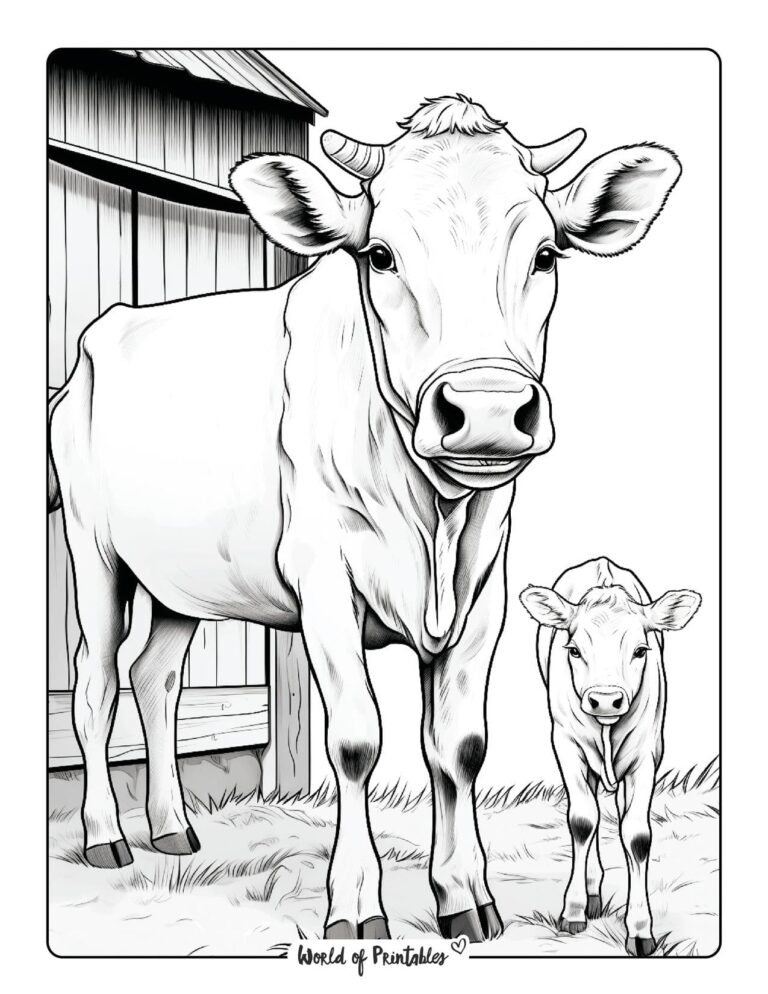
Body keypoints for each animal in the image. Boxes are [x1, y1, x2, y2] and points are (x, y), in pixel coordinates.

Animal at [48, 95, 681, 942]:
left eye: (546, 254)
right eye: (380, 255)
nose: (486, 412)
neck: (433, 522)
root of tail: (106, 329)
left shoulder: (485, 591)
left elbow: (459, 746)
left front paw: (464, 897)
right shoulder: (324, 583)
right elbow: (355, 742)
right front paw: (354, 907)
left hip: (181, 578)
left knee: (156, 677)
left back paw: (173, 828)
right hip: (92, 550)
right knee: (95, 685)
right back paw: (105, 836)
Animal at [520, 557, 701, 955]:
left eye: (640, 650)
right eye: (574, 650)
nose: (605, 700)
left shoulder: (647, 754)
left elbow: (636, 835)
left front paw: (640, 929)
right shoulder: (566, 744)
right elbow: (582, 820)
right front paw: (573, 910)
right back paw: (590, 891)